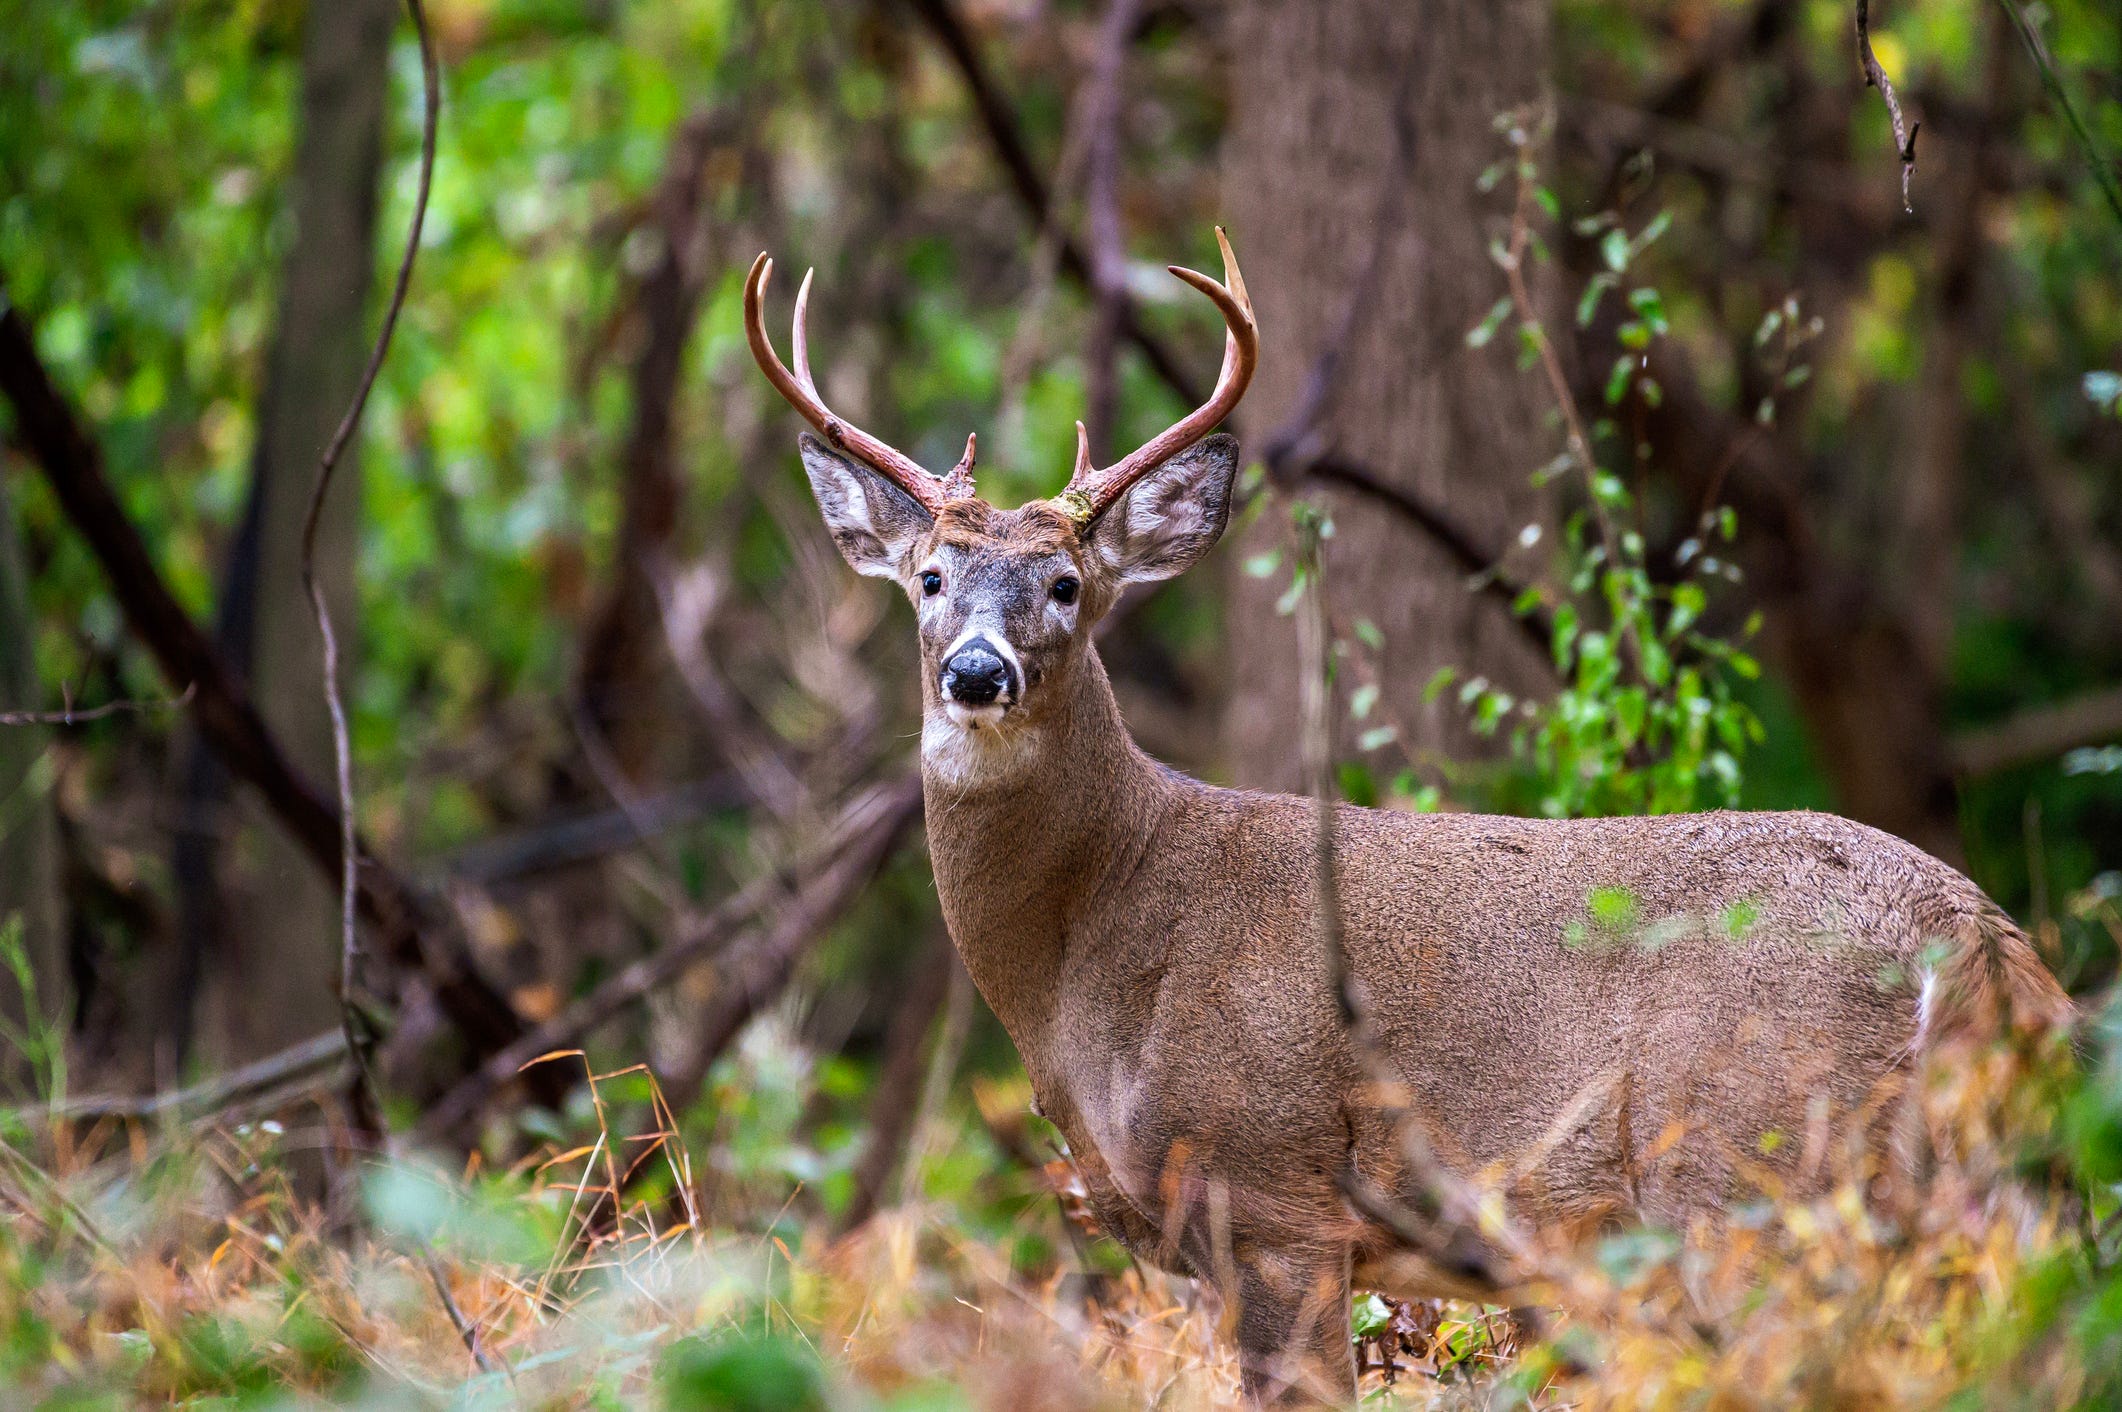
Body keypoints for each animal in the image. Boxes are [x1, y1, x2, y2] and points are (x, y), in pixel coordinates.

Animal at [741, 230, 2073, 1406]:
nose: (977, 672)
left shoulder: (1274, 1188)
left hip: (1756, 1163)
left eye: (1066, 585)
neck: (1096, 945)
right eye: (927, 579)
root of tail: (1977, 940)